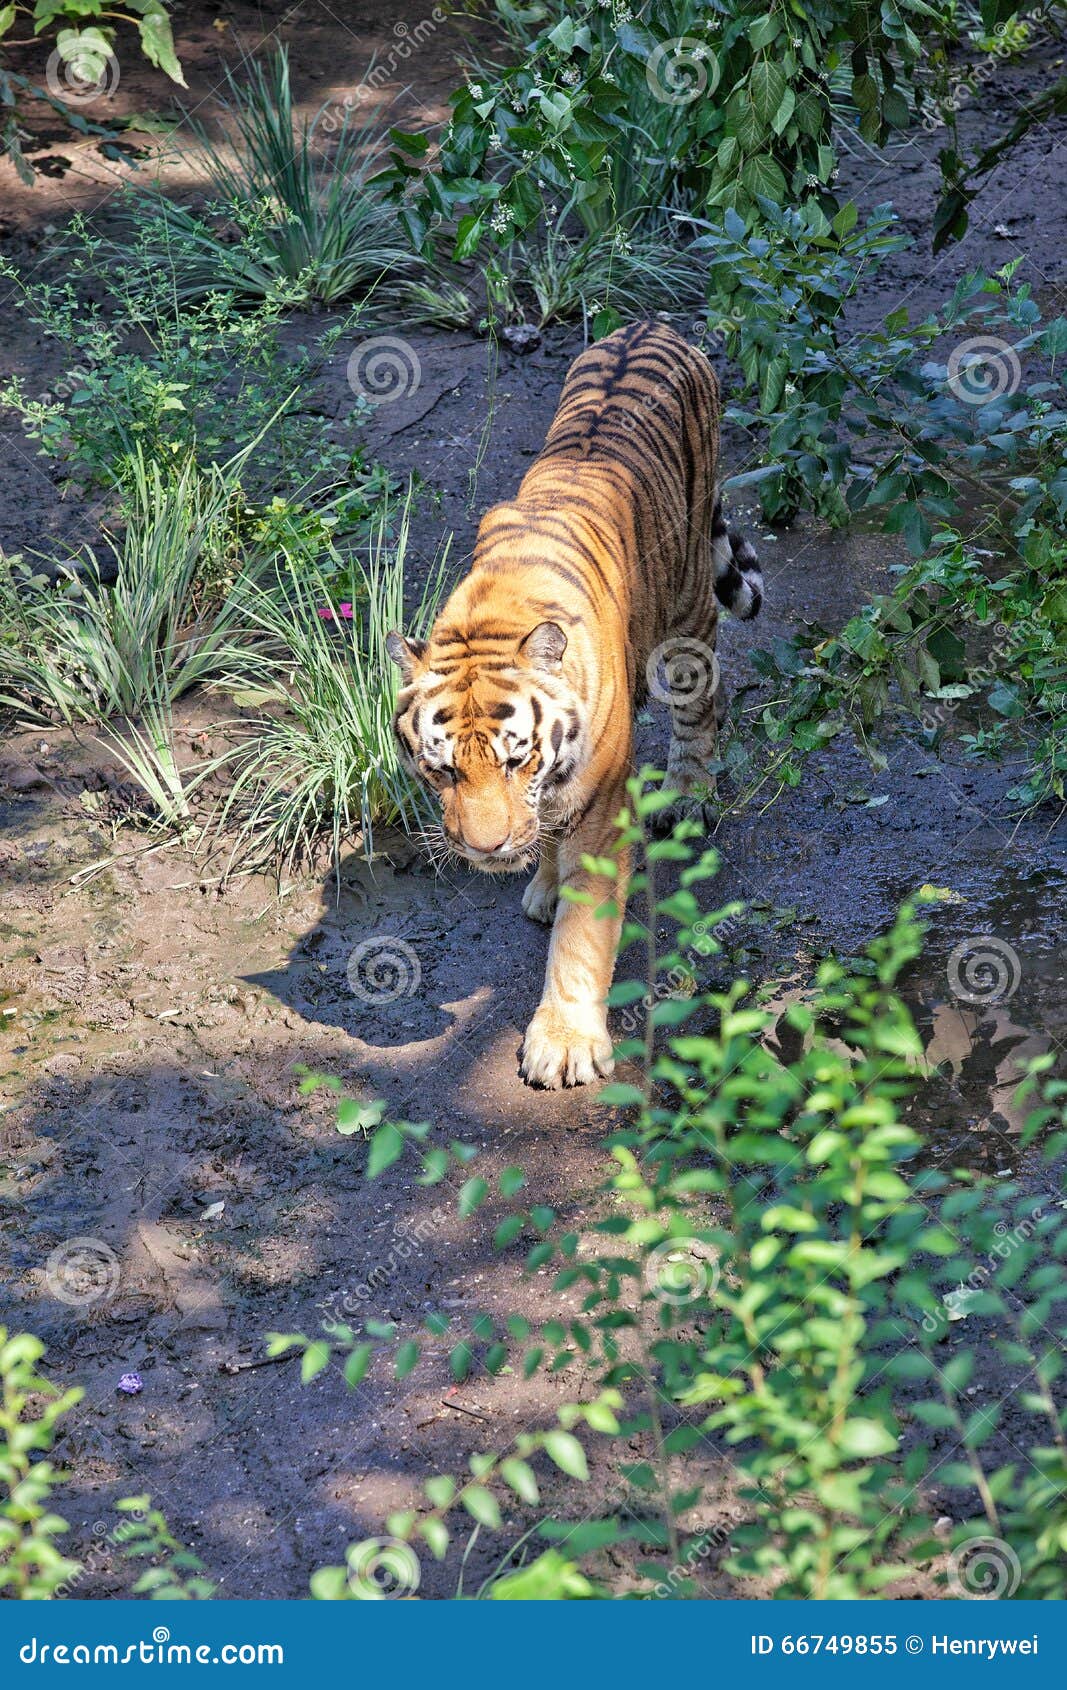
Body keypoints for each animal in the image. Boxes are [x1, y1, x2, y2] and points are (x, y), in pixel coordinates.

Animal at [387, 320, 762, 1089]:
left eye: (515, 761)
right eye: (442, 770)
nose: (485, 849)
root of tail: (652, 323)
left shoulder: (602, 800)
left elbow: (584, 935)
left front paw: (563, 1044)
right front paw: (543, 883)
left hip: (687, 617)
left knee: (698, 709)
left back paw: (688, 796)